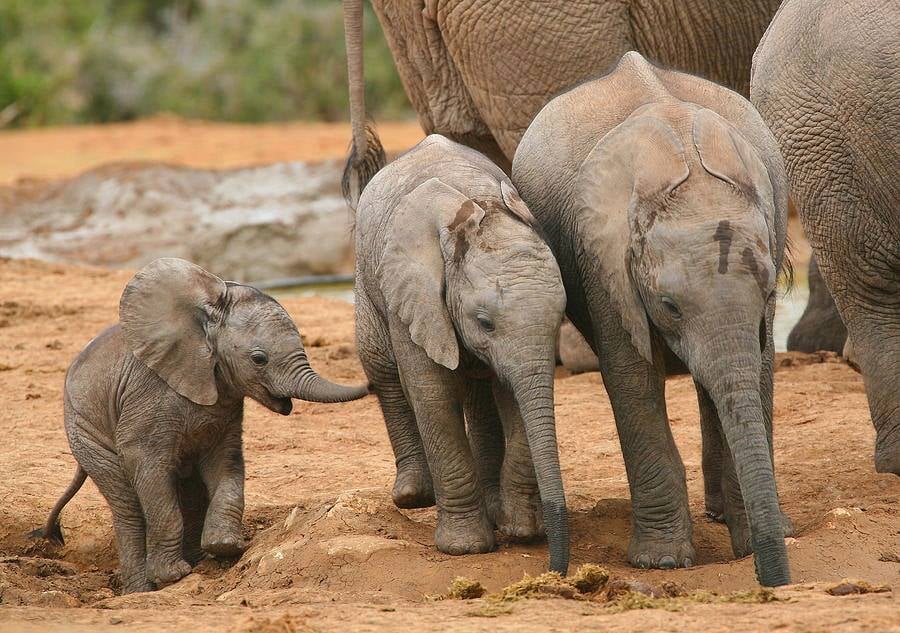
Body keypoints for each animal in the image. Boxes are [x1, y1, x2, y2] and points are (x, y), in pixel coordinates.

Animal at [30, 258, 369, 593]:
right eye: (259, 359)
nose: (372, 382)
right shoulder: (148, 397)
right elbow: (148, 466)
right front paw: (173, 576)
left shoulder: (226, 405)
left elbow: (226, 462)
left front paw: (226, 547)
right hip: (86, 436)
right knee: (128, 506)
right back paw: (142, 590)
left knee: (187, 490)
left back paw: (194, 563)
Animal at [353, 134, 569, 573]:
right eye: (484, 322)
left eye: (561, 317)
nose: (556, 570)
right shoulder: (414, 294)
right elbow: (432, 395)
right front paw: (465, 547)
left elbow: (514, 398)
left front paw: (520, 530)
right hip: (368, 283)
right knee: (382, 369)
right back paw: (412, 496)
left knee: (479, 392)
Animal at [512, 52, 793, 586]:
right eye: (668, 306)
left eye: (770, 290)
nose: (776, 580)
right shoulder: (603, 261)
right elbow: (631, 378)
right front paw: (660, 561)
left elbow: (761, 369)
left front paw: (749, 546)